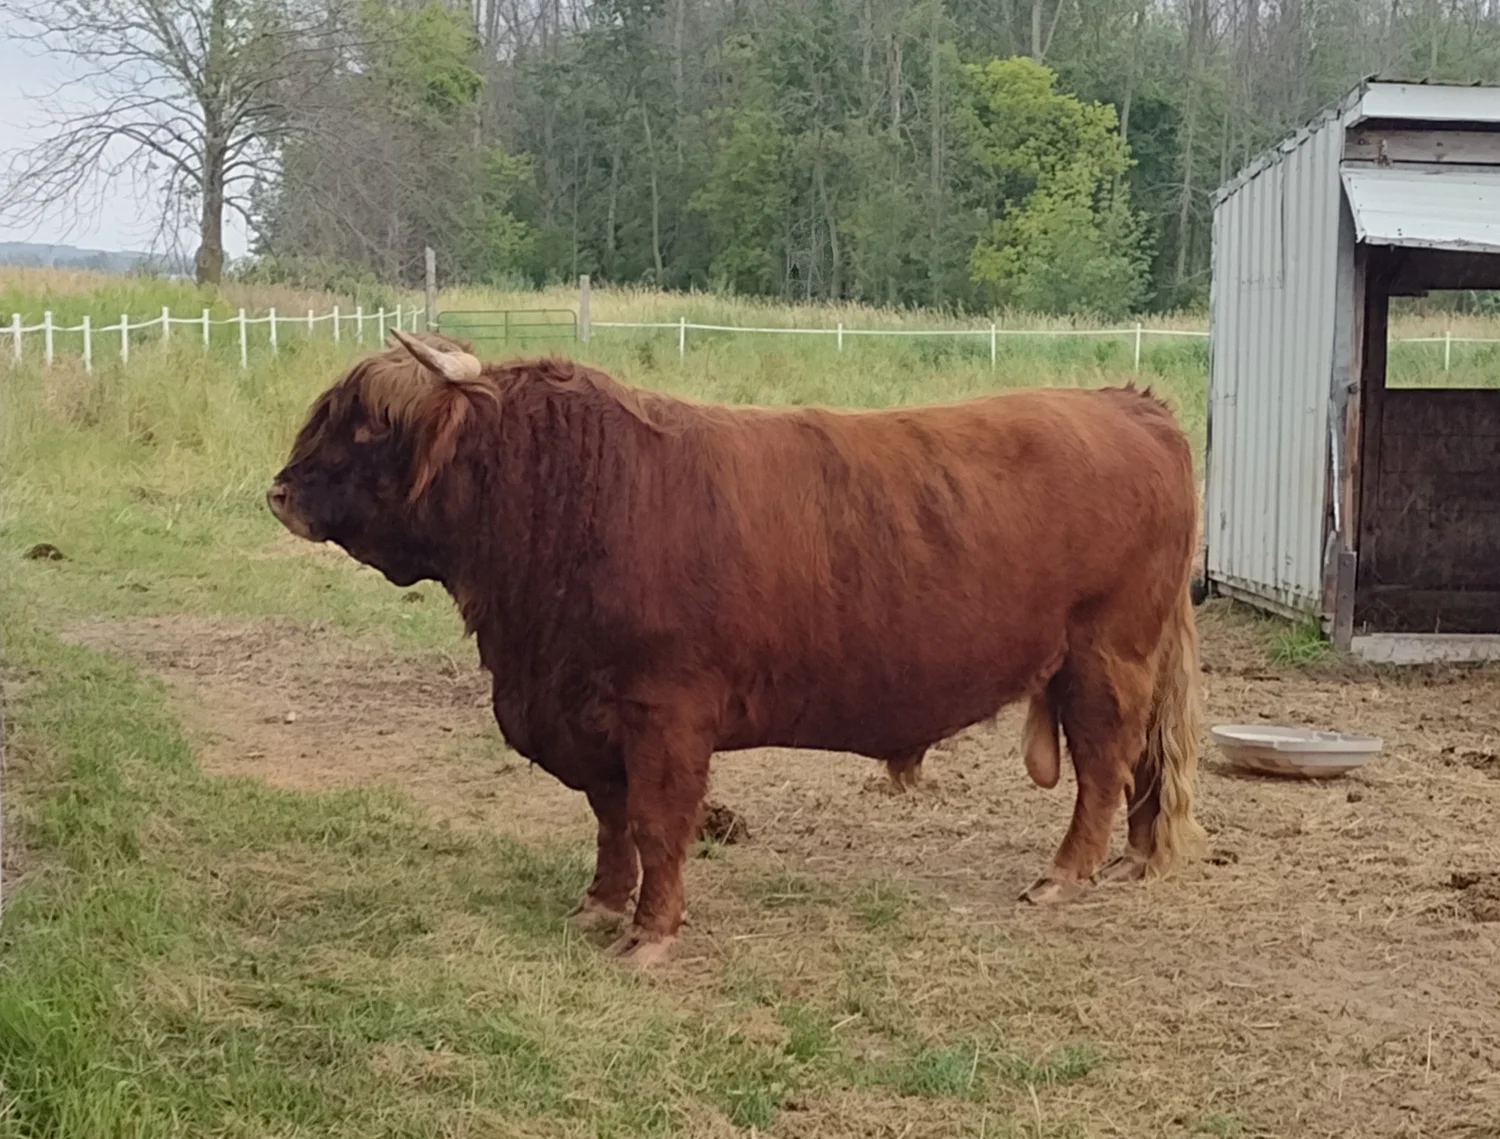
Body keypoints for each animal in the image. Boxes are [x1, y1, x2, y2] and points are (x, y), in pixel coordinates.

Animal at [266, 330, 1205, 966]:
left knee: (1104, 763)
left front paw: (650, 934)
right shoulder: (586, 714)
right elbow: (610, 817)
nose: (278, 492)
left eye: (368, 430)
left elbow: (656, 821)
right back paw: (1126, 859)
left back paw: (1065, 874)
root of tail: (1126, 400)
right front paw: (599, 905)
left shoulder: (665, 712)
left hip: (1105, 655)